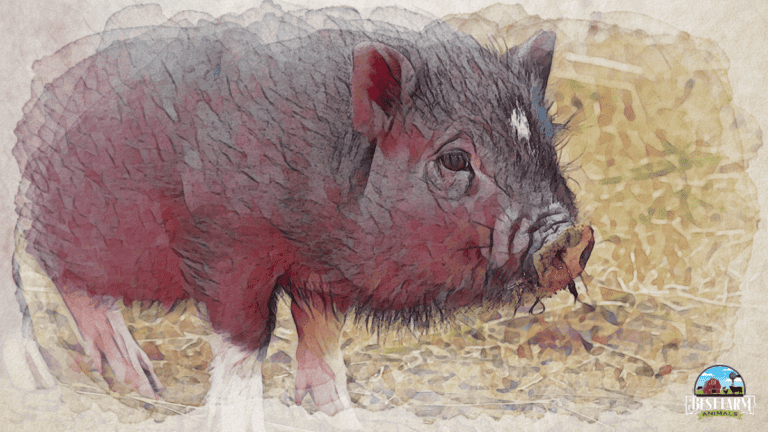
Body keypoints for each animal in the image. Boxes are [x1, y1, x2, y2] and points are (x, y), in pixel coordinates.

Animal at [12, 8, 594, 432]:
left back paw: (142, 388)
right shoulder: (229, 250)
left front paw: (339, 417)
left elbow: (323, 347)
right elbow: (245, 345)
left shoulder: (320, 275)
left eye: (547, 144)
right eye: (454, 159)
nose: (568, 234)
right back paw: (60, 384)